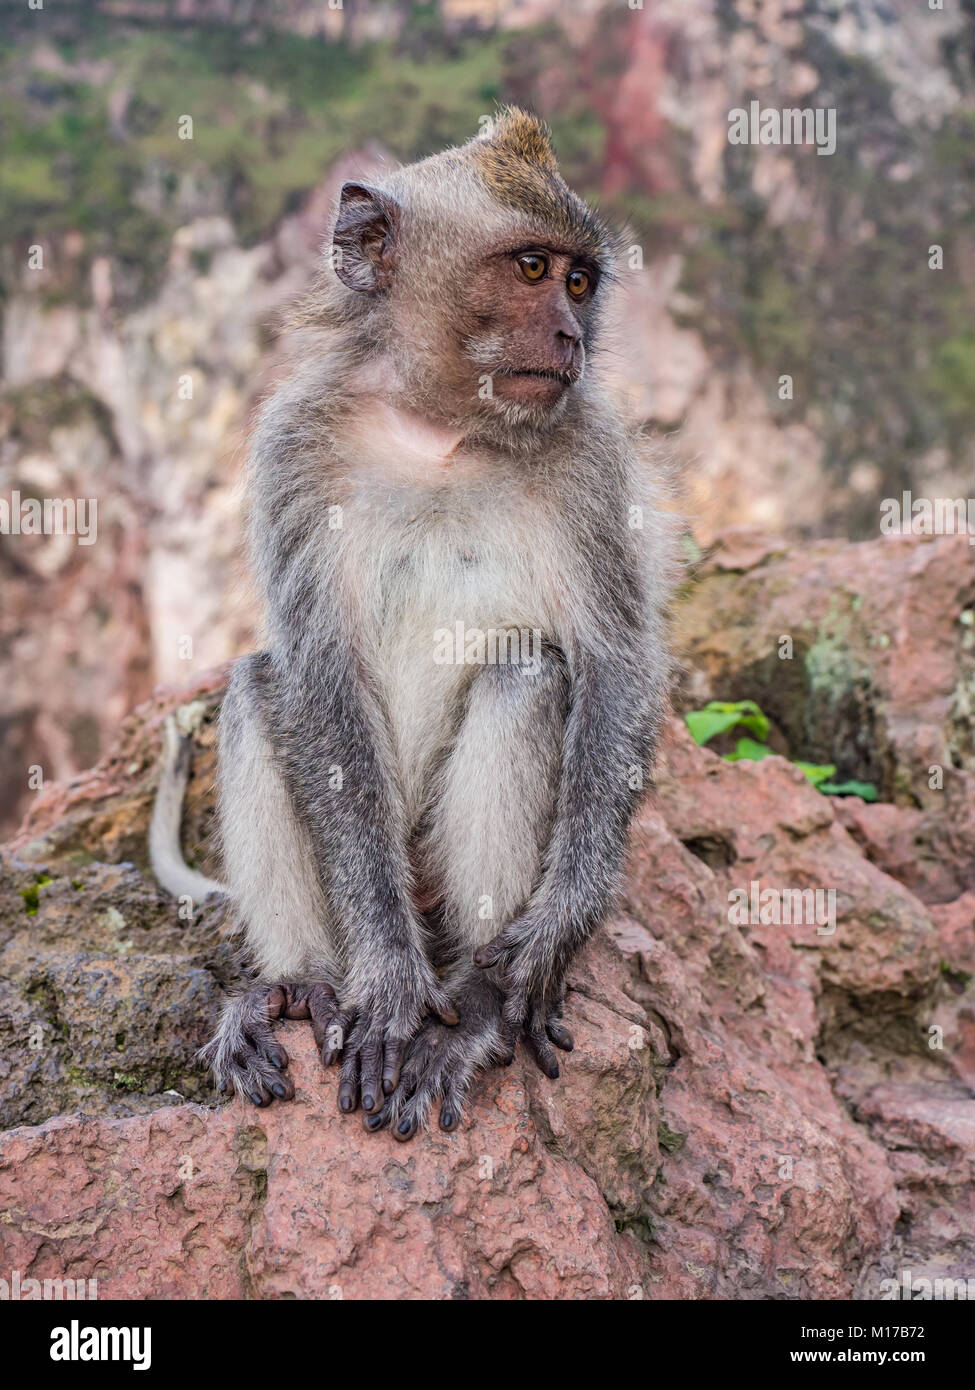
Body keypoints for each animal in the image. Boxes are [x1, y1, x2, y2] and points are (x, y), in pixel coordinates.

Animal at [150, 108, 675, 1141]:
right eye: (530, 268)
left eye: (579, 281)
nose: (570, 335)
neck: (439, 428)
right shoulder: (292, 449)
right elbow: (319, 680)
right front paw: (385, 983)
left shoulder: (590, 455)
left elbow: (614, 665)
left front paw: (558, 923)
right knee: (259, 686)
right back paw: (301, 986)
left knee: (527, 674)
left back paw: (470, 1006)